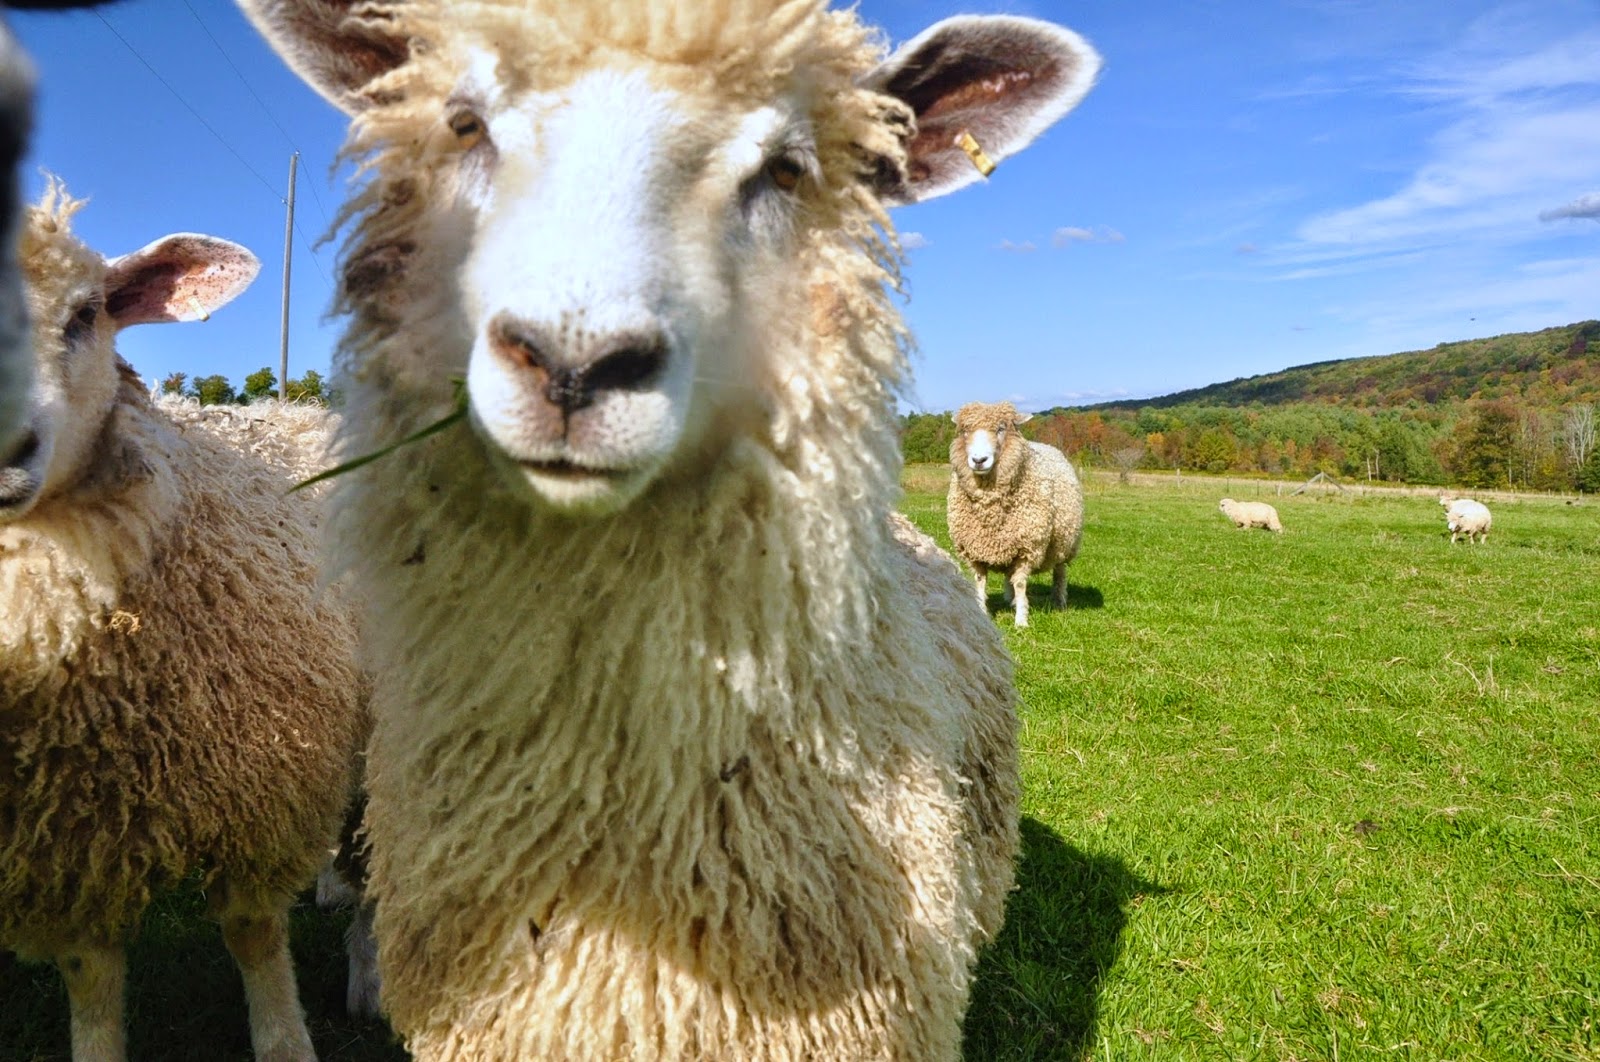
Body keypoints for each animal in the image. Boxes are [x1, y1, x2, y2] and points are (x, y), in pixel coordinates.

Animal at [0, 184, 369, 1062]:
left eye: (85, 313)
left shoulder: (262, 785)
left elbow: (253, 935)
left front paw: (285, 1044)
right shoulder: (61, 845)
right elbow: (90, 976)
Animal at [947, 400, 1084, 628]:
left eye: (1001, 428)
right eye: (965, 431)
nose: (979, 460)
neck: (990, 509)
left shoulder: (1026, 547)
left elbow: (1020, 584)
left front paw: (1021, 621)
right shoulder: (976, 549)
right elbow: (980, 582)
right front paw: (983, 613)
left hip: (1064, 543)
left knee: (1060, 572)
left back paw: (1059, 601)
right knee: (1009, 575)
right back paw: (1009, 598)